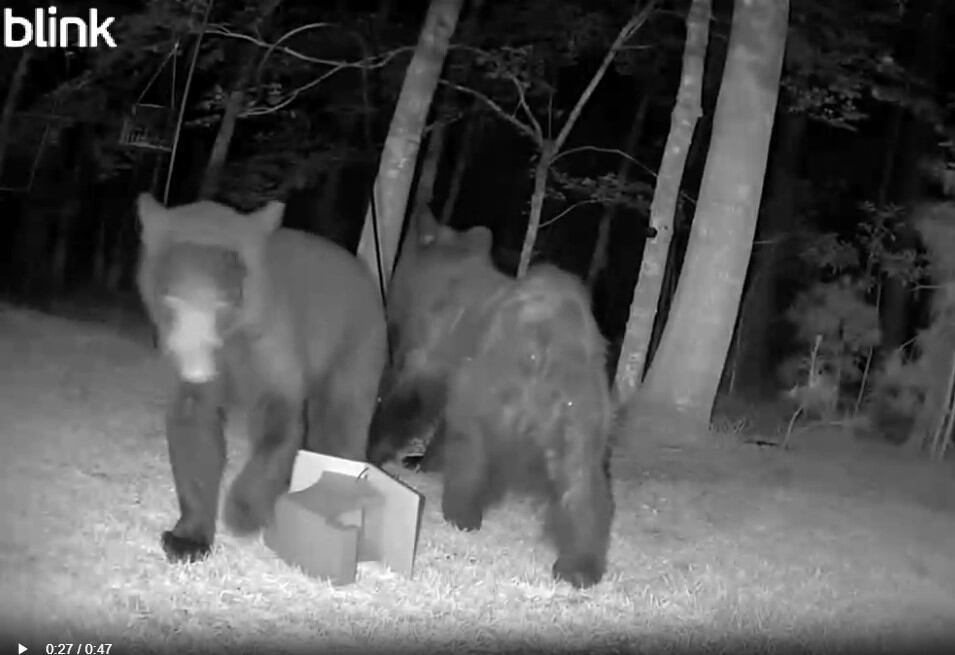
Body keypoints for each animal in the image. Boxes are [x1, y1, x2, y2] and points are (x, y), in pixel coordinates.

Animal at [135, 193, 387, 564]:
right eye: (172, 299)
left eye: (223, 303)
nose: (196, 366)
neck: (229, 342)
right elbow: (194, 428)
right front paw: (187, 539)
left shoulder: (271, 339)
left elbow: (278, 420)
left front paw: (242, 512)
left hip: (356, 346)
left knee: (343, 416)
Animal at [367, 209, 615, 588]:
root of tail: (551, 340)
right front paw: (422, 459)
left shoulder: (433, 356)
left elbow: (409, 400)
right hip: (580, 410)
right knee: (581, 480)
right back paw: (579, 565)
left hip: (493, 391)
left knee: (473, 449)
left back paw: (461, 512)